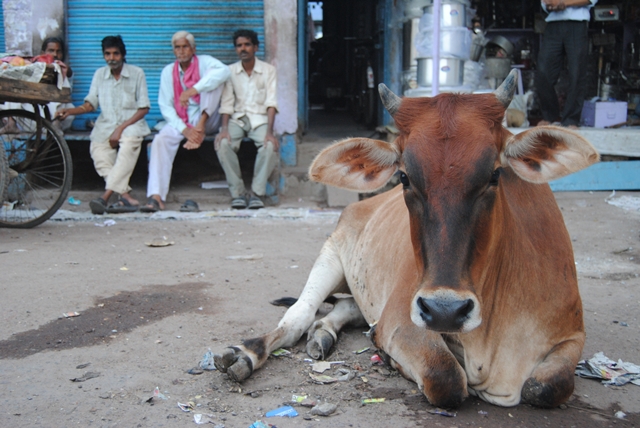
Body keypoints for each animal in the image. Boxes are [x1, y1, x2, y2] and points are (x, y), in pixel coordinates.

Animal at [212, 70, 599, 409]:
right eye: (404, 177)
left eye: (494, 175)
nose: (445, 310)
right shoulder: (401, 319)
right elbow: (447, 378)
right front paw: (392, 358)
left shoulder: (572, 336)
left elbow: (546, 386)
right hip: (331, 254)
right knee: (298, 316)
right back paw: (244, 354)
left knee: (344, 310)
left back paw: (325, 335)